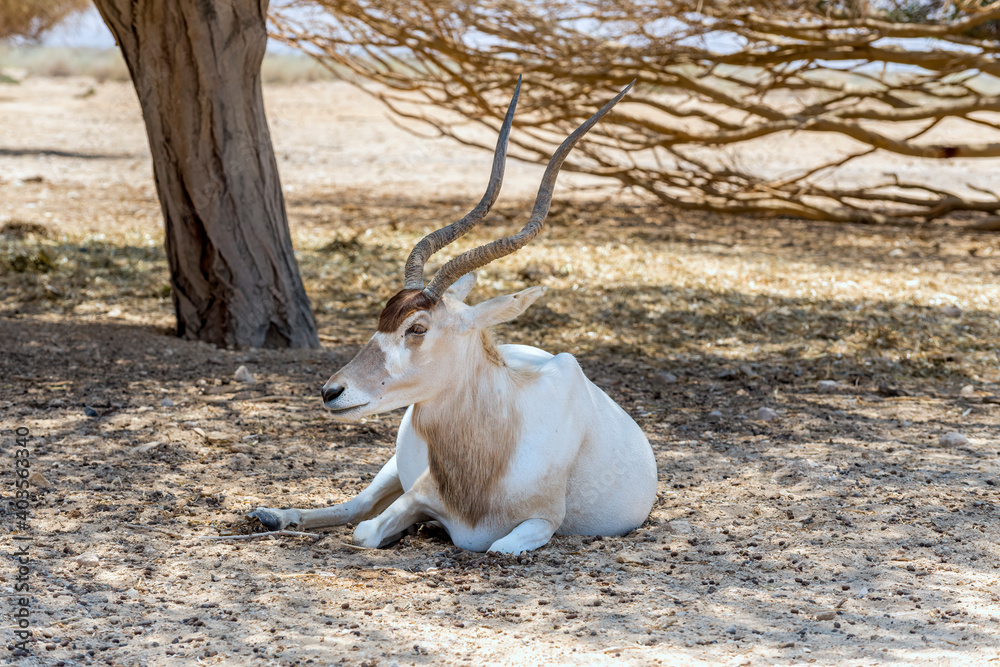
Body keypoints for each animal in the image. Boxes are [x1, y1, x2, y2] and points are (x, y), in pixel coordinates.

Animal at [250, 78, 657, 554]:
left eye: (417, 327)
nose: (332, 391)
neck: (496, 446)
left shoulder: (544, 520)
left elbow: (499, 547)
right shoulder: (419, 492)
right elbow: (366, 530)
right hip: (391, 468)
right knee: (356, 506)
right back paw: (274, 515)